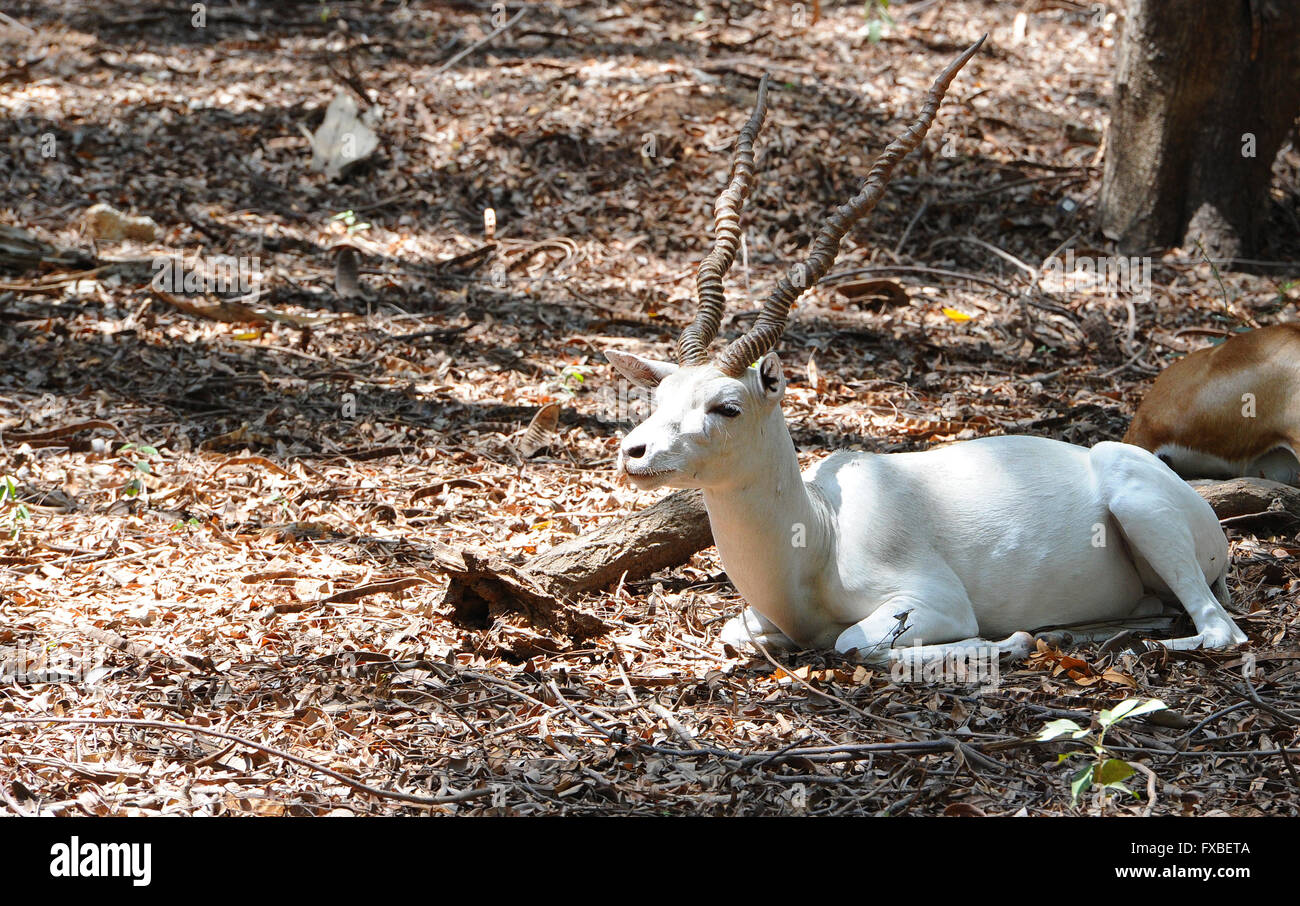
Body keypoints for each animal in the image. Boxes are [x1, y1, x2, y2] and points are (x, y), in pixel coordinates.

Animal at [604, 38, 1247, 666]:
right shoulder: (759, 620)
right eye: (658, 397)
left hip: (1145, 514)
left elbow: (857, 644)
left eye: (727, 407)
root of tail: (1209, 521)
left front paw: (1009, 640)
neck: (818, 536)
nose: (635, 453)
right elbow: (736, 632)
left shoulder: (935, 600)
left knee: (1221, 631)